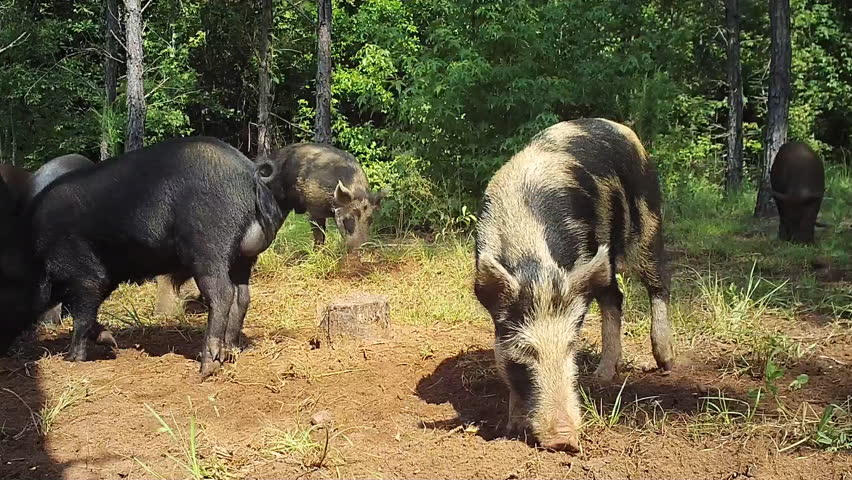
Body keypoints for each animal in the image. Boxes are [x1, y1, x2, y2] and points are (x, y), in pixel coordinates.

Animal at [17, 137, 285, 378]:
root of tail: (249, 174)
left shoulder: (82, 273)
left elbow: (82, 314)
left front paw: (71, 359)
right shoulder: (105, 278)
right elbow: (87, 312)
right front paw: (111, 341)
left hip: (209, 247)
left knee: (223, 294)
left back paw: (206, 367)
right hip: (243, 259)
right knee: (242, 296)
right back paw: (230, 353)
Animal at [474, 118, 674, 452]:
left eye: (571, 346)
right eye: (525, 351)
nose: (564, 440)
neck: (535, 264)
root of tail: (616, 125)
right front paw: (512, 428)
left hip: (648, 218)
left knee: (658, 283)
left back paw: (666, 361)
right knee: (614, 297)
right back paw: (602, 376)